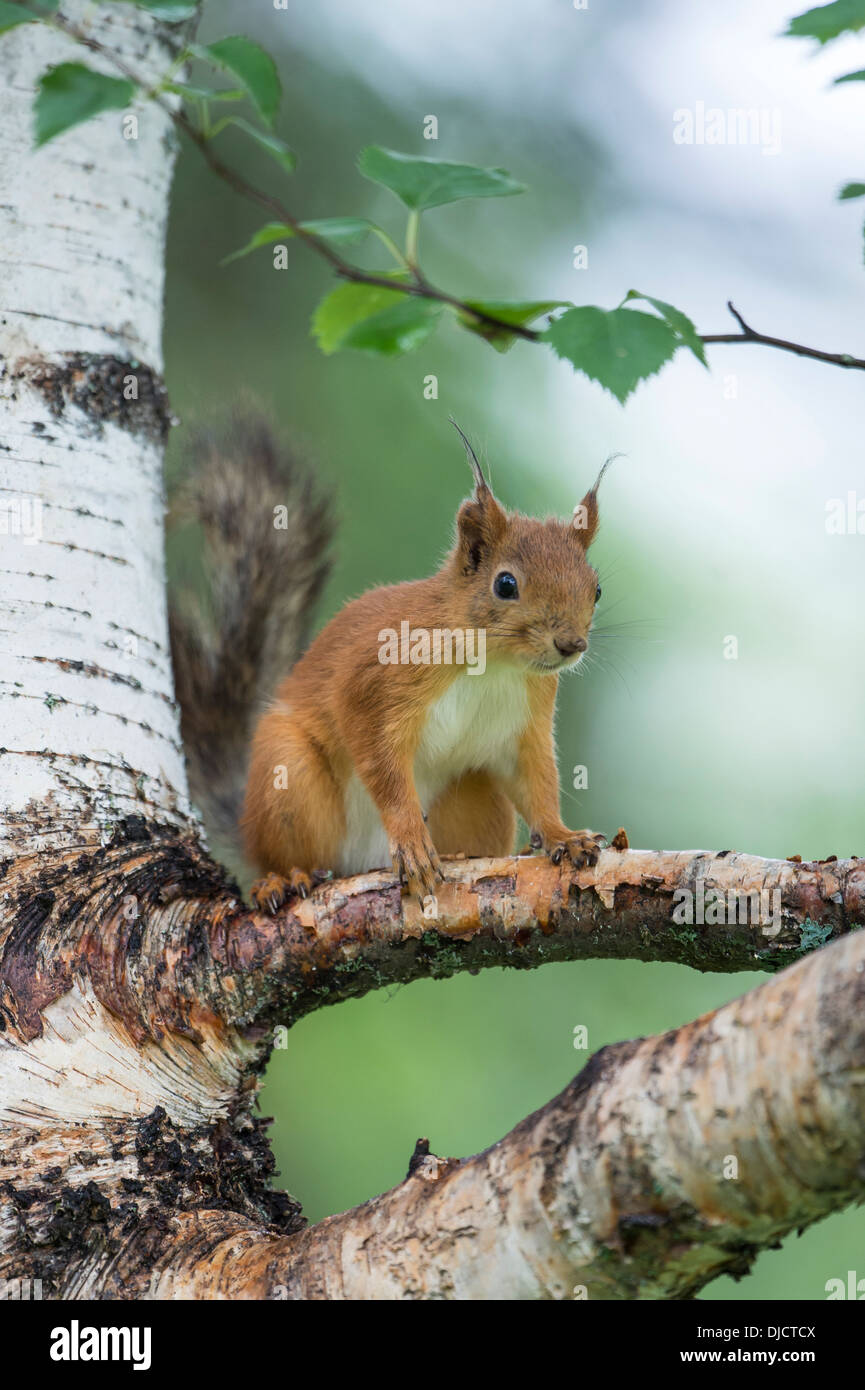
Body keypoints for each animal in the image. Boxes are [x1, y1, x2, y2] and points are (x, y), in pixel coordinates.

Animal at [169, 410, 608, 912]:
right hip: (287, 775)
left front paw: (564, 837)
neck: (491, 663)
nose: (571, 644)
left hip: (477, 795)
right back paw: (282, 879)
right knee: (286, 851)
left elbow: (536, 782)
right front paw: (412, 842)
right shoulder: (374, 685)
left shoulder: (525, 720)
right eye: (505, 584)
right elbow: (382, 766)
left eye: (596, 588)